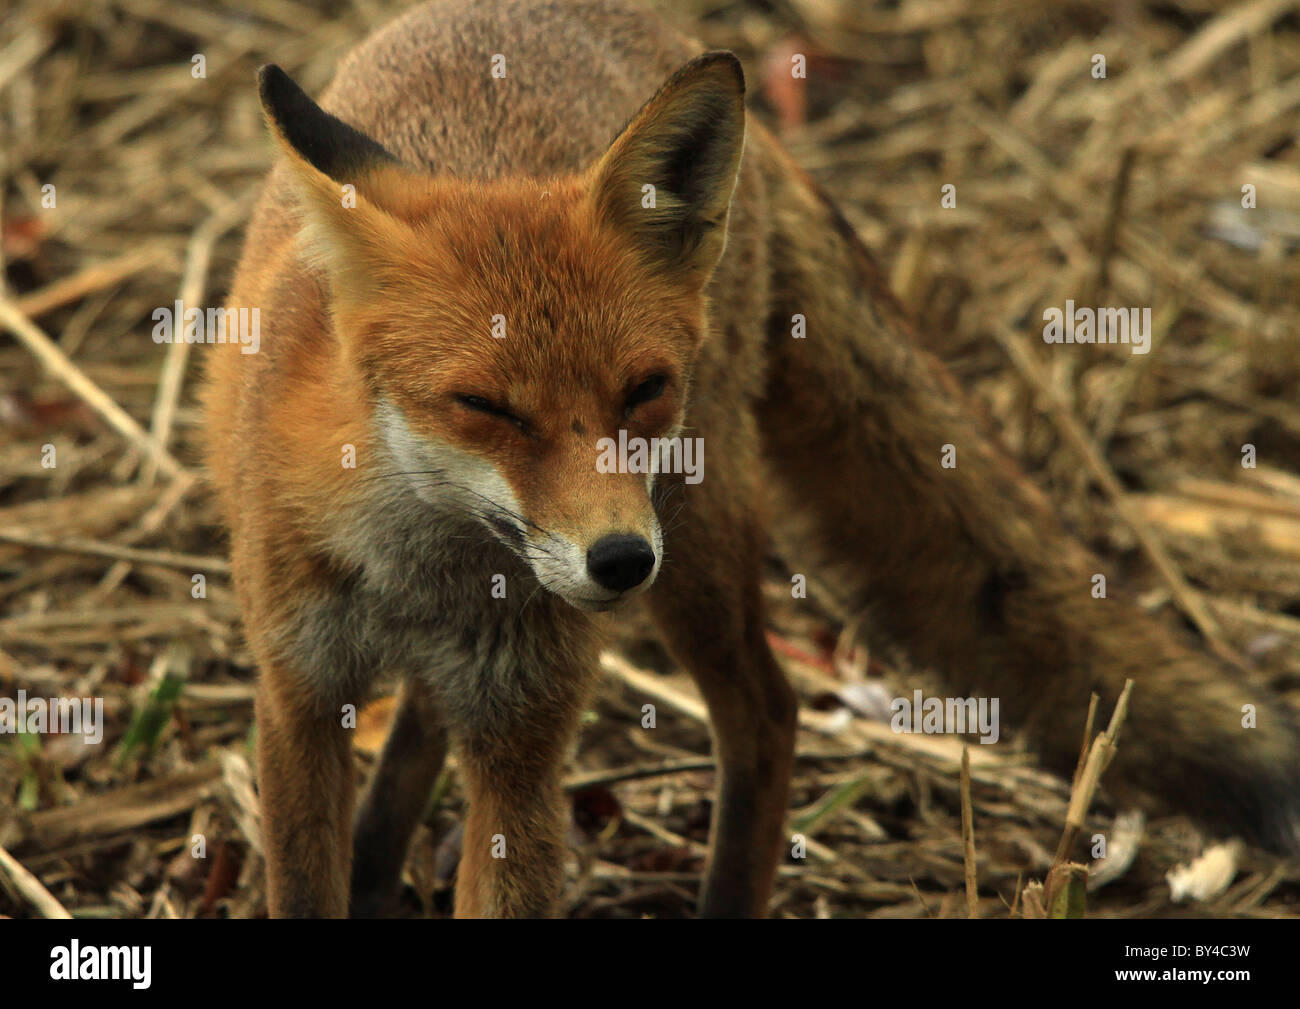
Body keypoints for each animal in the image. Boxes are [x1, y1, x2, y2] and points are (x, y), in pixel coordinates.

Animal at [202, 0, 1300, 918]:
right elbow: (306, 880)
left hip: (697, 542)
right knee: (432, 722)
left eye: (643, 389)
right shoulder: (298, 697)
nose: (617, 562)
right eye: (484, 407)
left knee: (768, 716)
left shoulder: (524, 740)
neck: (419, 568)